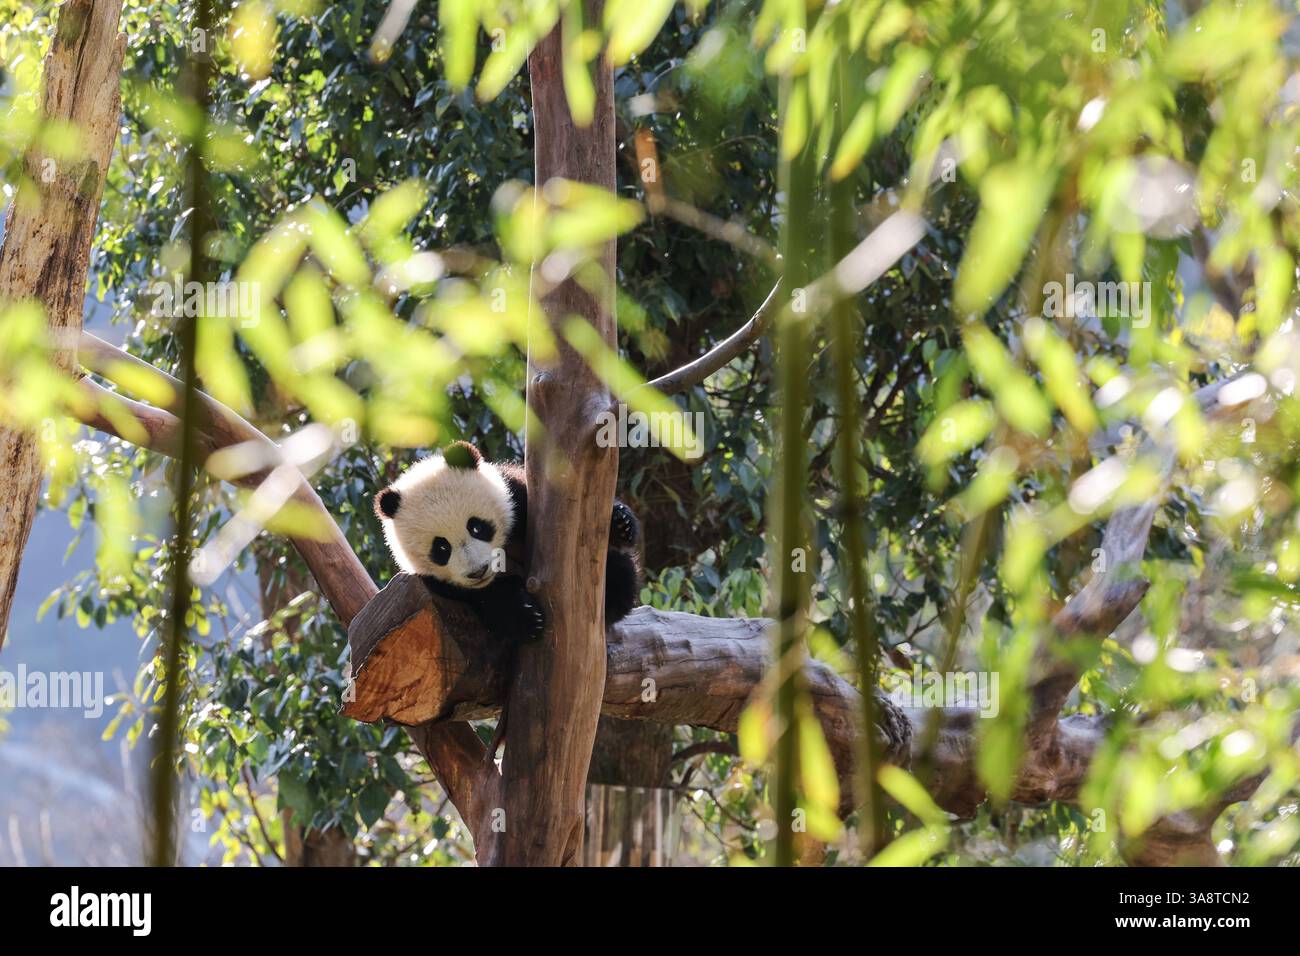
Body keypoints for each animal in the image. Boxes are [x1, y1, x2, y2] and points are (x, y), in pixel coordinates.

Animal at [373, 440, 642, 643]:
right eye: (441, 547)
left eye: (477, 527)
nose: (478, 571)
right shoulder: (433, 583)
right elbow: (482, 597)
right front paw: (525, 618)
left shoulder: (517, 499)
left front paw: (621, 523)